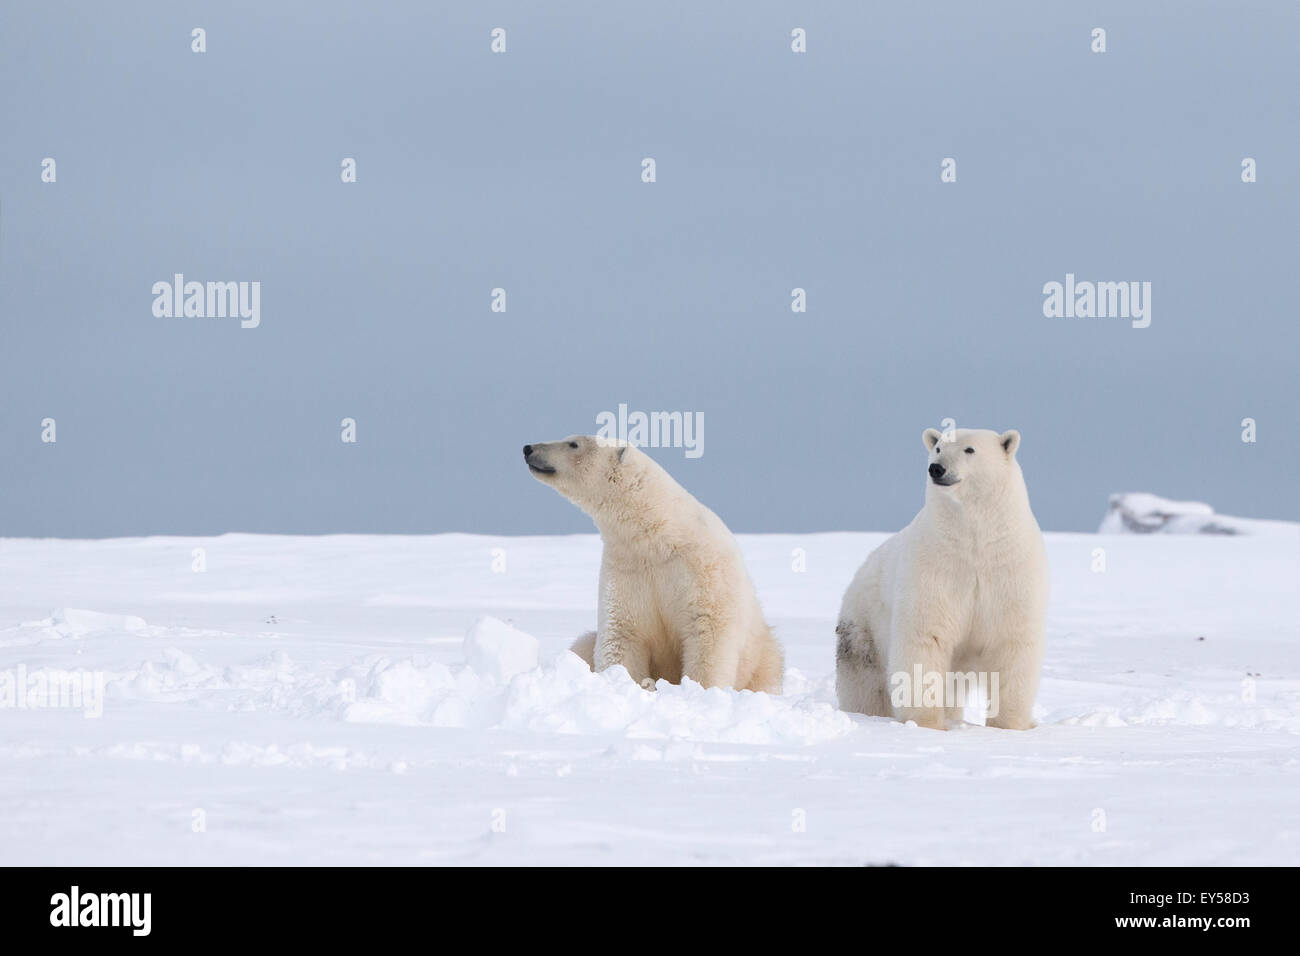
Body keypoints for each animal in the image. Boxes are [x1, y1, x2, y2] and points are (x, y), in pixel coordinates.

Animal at [523, 435, 783, 693]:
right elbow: (622, 633)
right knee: (583, 645)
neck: (658, 537)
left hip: (763, 652)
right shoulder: (626, 570)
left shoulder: (703, 568)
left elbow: (708, 630)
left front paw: (698, 688)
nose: (528, 448)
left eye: (573, 443)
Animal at [835, 427, 1048, 730]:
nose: (937, 468)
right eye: (938, 448)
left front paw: (1010, 725)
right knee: (865, 681)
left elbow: (1012, 641)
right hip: (864, 628)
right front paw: (926, 723)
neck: (975, 541)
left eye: (969, 449)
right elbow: (926, 636)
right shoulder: (935, 566)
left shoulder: (1010, 570)